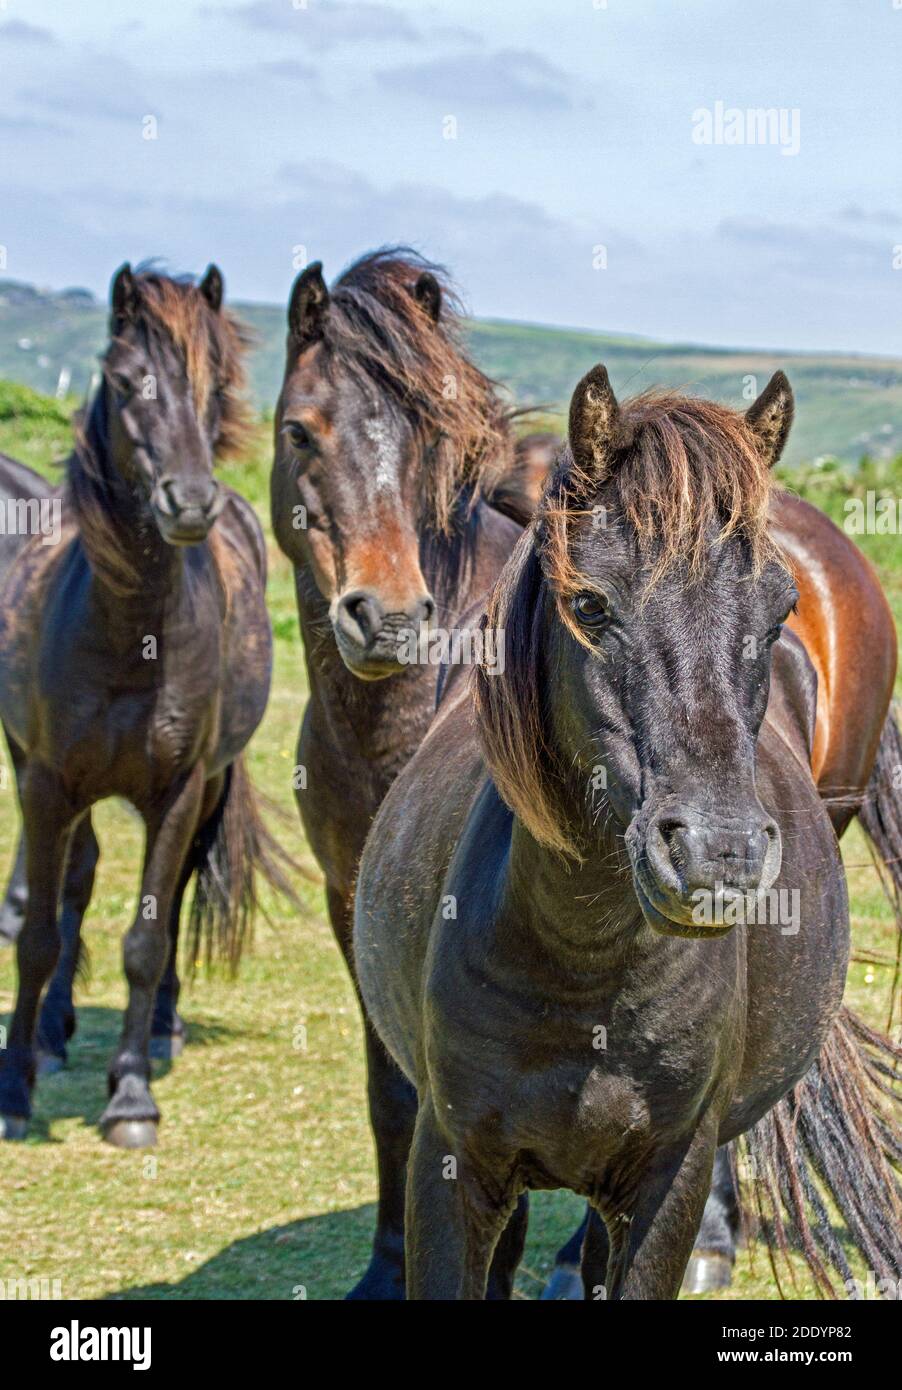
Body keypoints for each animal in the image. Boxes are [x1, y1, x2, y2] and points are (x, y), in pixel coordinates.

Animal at [0, 263, 288, 1148]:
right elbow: (40, 933)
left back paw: (161, 1028)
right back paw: (52, 1034)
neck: (132, 636)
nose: (189, 502)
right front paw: (16, 1086)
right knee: (76, 884)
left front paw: (130, 1096)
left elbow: (146, 940)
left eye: (213, 386)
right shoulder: (47, 783)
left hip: (210, 789)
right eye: (128, 380)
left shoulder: (177, 791)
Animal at [353, 366, 901, 1299]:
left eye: (778, 610)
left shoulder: (665, 1182)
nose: (719, 853)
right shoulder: (450, 1167)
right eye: (591, 603)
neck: (582, 959)